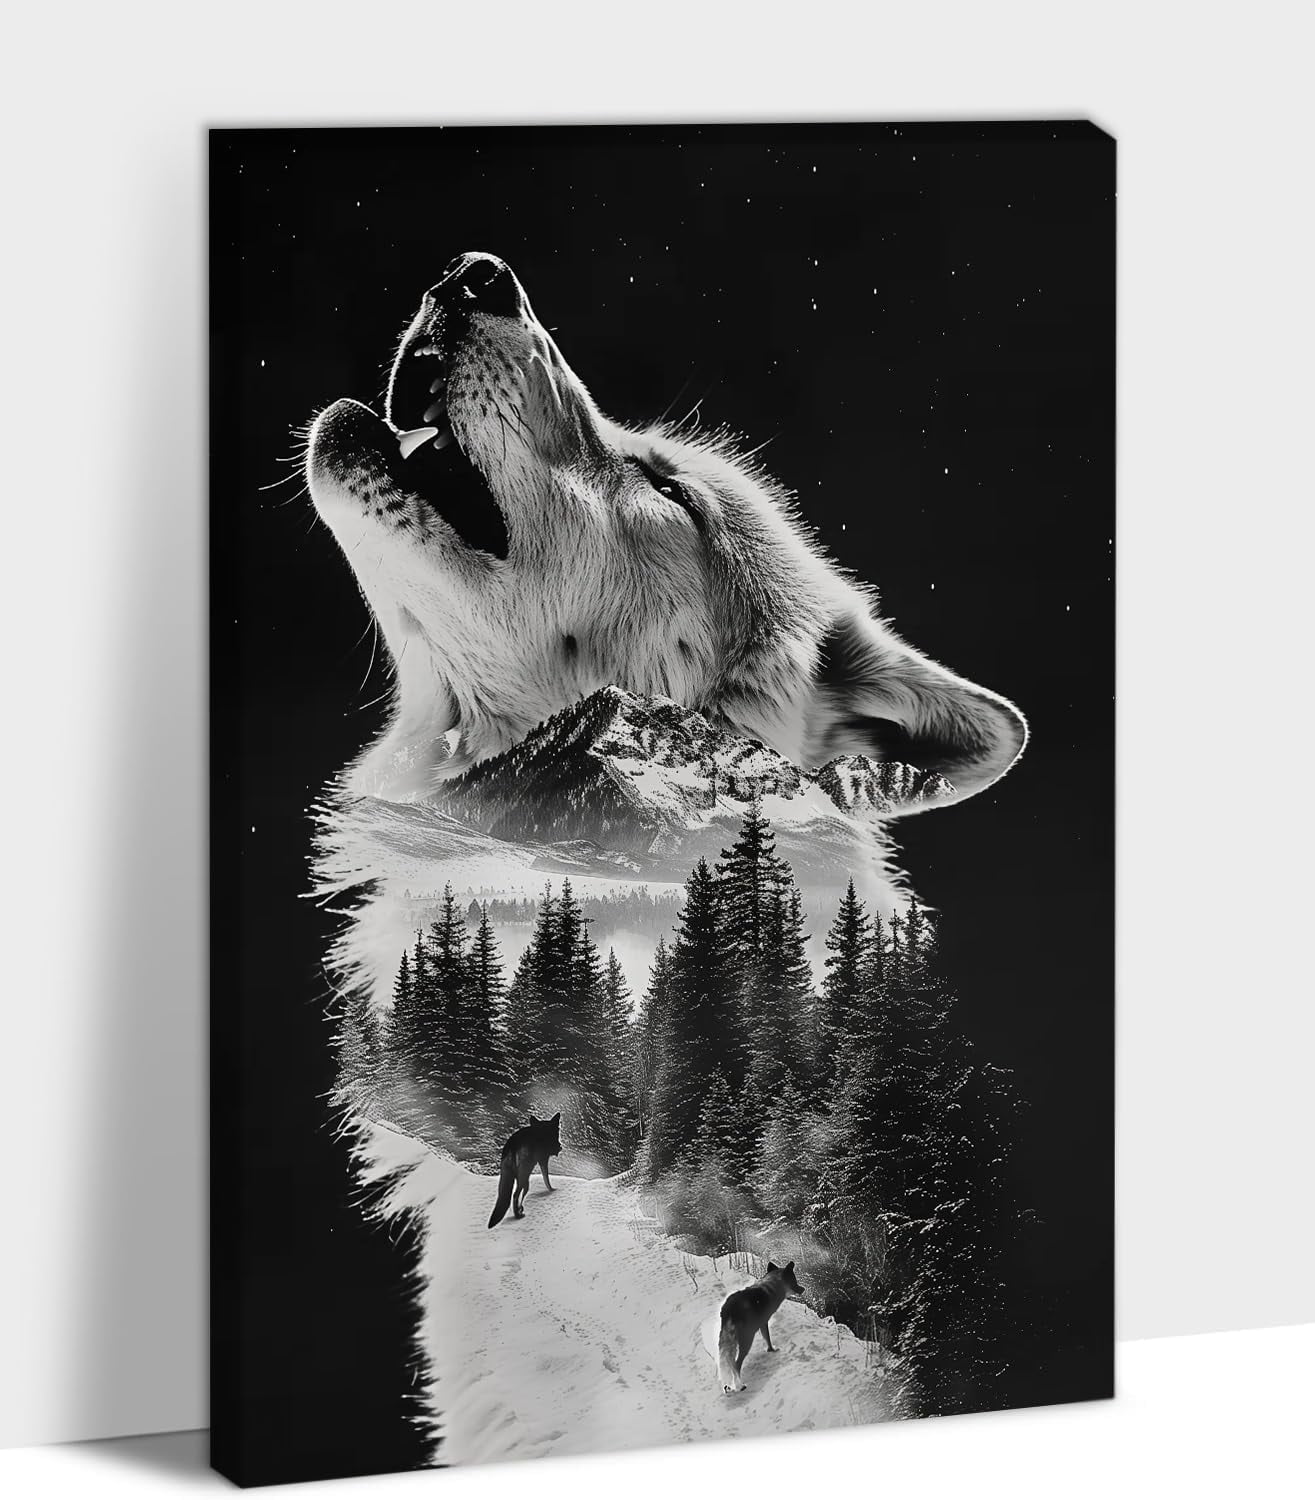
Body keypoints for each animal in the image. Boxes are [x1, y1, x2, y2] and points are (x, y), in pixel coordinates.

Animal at [717, 1261, 805, 1394]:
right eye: (795, 1281)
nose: (803, 1289)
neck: (772, 1284)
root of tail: (730, 1310)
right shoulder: (763, 1322)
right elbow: (767, 1338)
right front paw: (772, 1350)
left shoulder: (762, 1325)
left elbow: (766, 1338)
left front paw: (770, 1350)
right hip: (747, 1338)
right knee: (736, 1363)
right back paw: (740, 1386)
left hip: (726, 1338)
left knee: (729, 1362)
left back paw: (730, 1386)